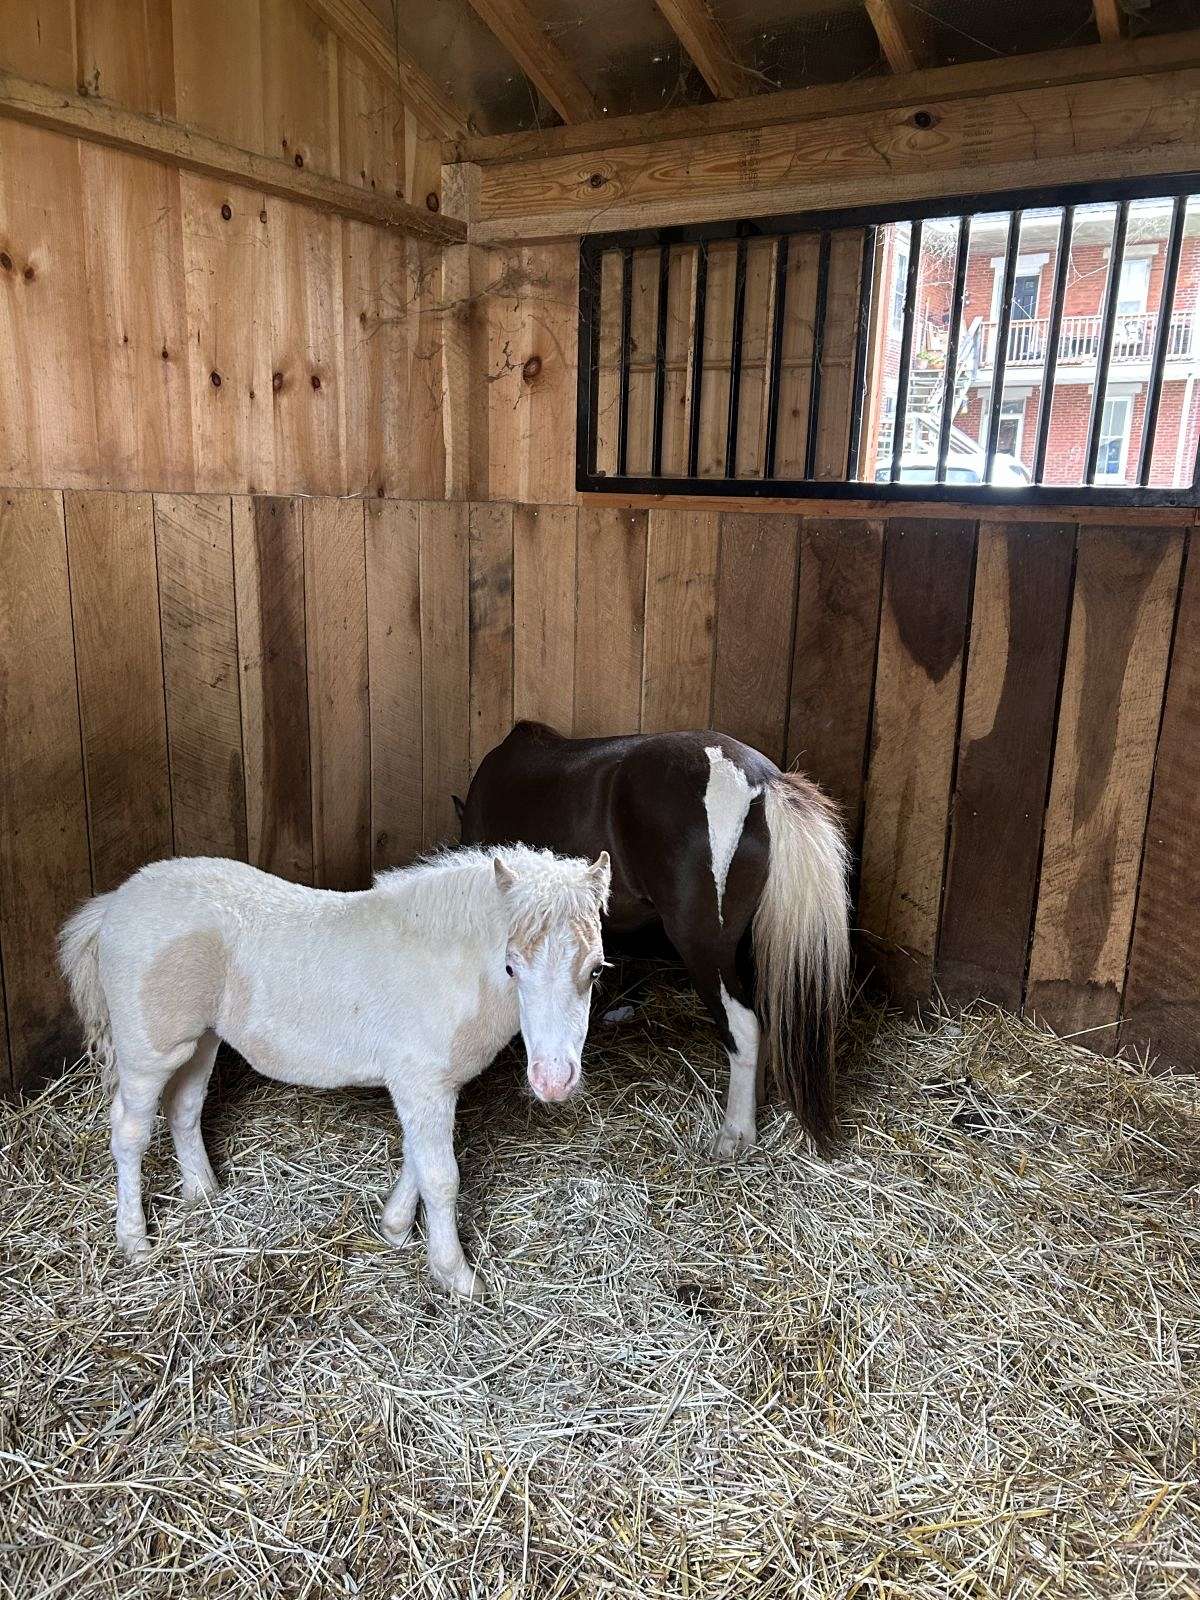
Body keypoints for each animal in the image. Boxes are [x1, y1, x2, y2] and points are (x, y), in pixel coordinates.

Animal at [59, 843, 611, 1298]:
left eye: (595, 970)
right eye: (512, 966)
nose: (553, 1080)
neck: (447, 966)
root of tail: (117, 902)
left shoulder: (425, 1089)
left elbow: (416, 1159)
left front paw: (393, 1229)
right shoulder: (423, 1086)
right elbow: (441, 1176)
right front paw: (455, 1276)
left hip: (203, 1042)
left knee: (185, 1108)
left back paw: (204, 1194)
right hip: (149, 1054)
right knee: (129, 1132)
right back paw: (134, 1241)